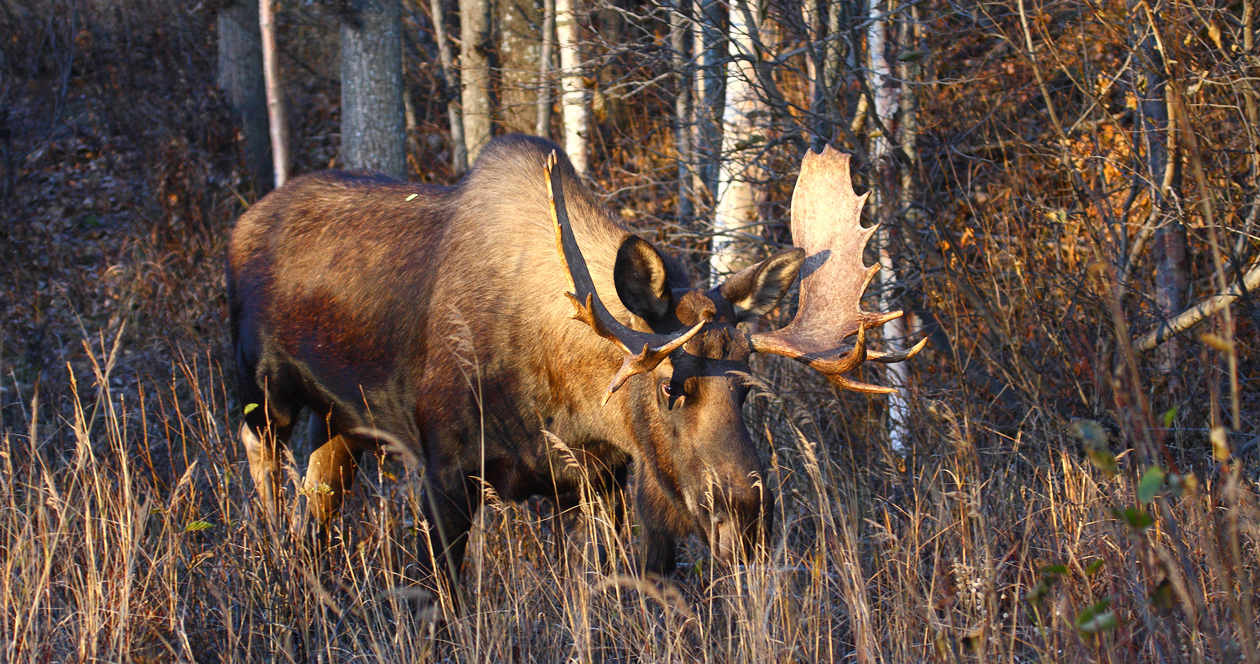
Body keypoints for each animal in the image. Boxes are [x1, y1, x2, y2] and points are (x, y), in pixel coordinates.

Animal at [226, 134, 923, 592]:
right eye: (669, 386)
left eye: (747, 390)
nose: (747, 517)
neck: (565, 399)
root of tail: (240, 224)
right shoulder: (445, 467)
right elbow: (443, 597)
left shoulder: (603, 480)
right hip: (264, 393)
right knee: (267, 484)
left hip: (344, 423)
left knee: (315, 508)